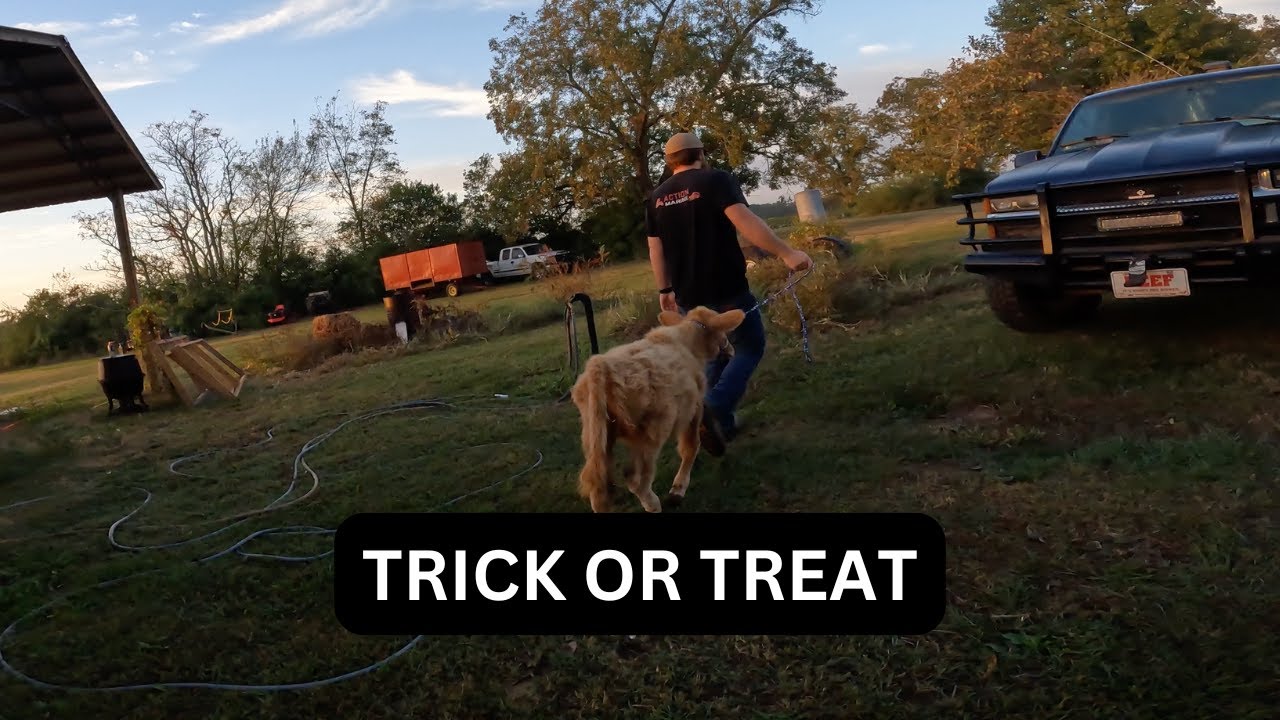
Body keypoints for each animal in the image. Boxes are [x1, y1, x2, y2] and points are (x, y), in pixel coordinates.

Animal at [570, 305, 746, 513]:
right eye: (723, 333)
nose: (731, 349)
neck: (686, 341)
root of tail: (599, 365)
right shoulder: (693, 407)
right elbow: (690, 446)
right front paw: (678, 489)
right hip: (652, 432)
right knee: (634, 478)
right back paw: (653, 504)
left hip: (595, 435)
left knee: (596, 486)